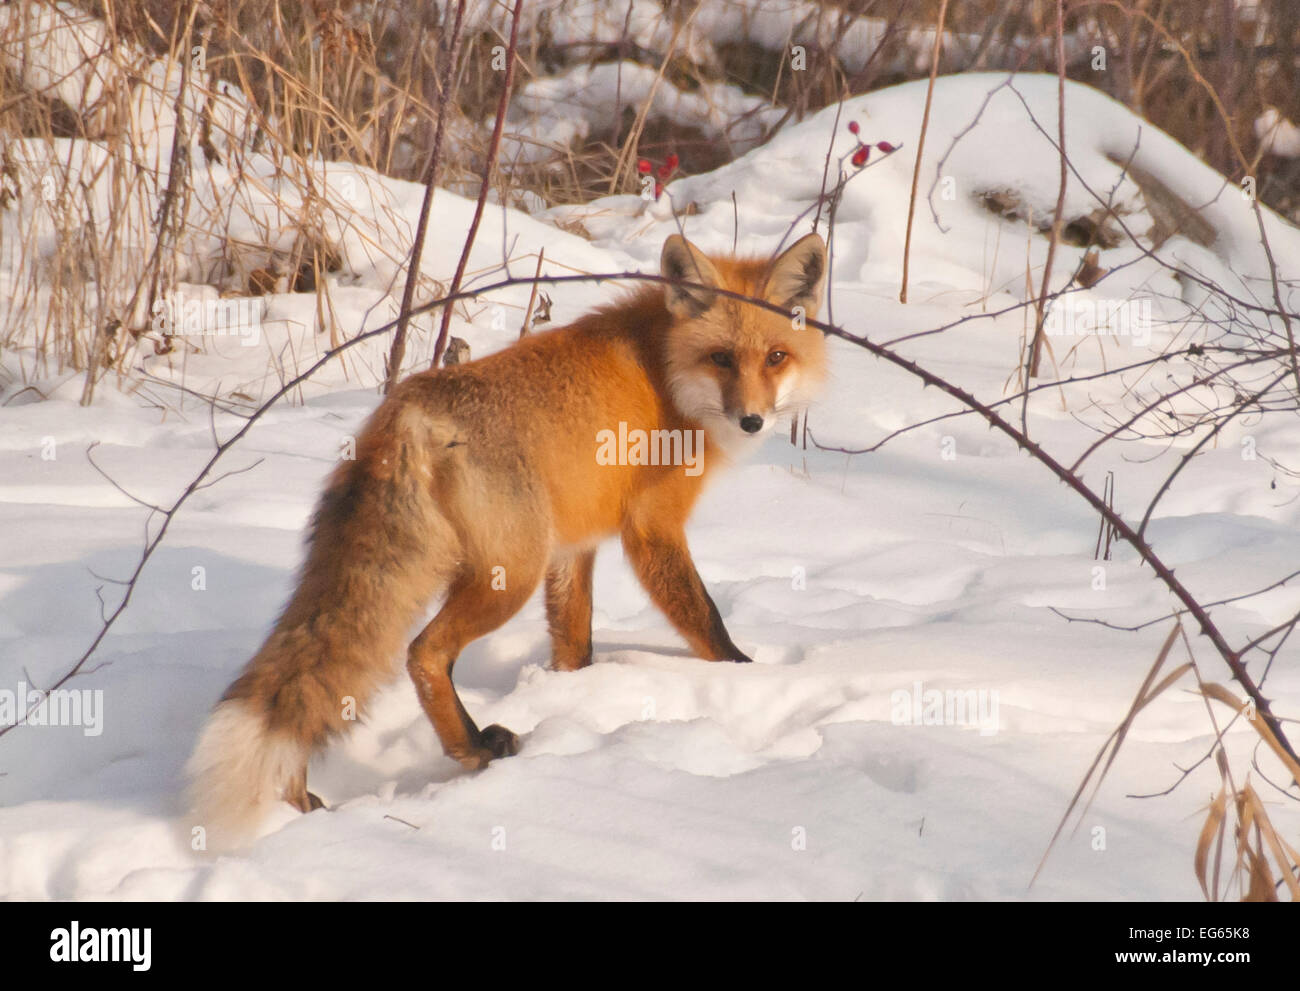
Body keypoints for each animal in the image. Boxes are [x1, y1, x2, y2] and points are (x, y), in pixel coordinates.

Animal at [187, 231, 828, 846]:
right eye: (721, 358)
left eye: (776, 357)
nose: (752, 421)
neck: (665, 373)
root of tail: (406, 412)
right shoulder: (652, 529)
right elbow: (708, 623)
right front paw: (751, 681)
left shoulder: (574, 547)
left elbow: (574, 643)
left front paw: (574, 698)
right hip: (509, 576)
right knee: (422, 652)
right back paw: (471, 749)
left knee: (309, 686)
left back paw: (298, 806)